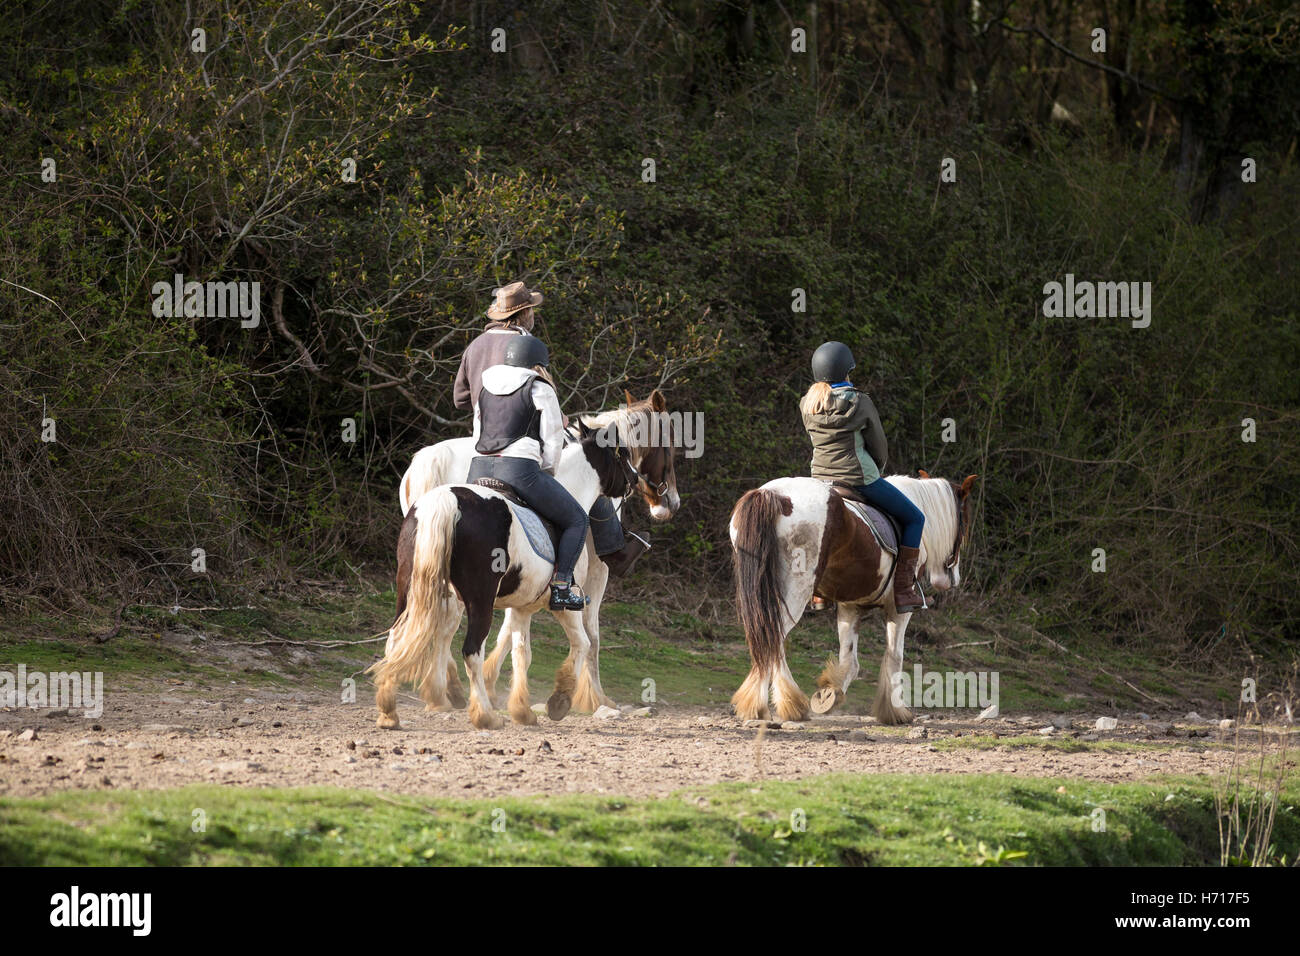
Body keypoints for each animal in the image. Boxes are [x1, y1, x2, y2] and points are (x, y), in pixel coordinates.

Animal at [369, 421, 637, 731]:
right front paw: (559, 702)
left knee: (396, 639)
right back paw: (485, 715)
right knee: (471, 650)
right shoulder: (565, 605)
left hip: (409, 590)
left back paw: (390, 711)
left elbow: (522, 653)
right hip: (479, 600)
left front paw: (523, 711)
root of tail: (445, 500)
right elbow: (581, 643)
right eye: (623, 454)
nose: (634, 480)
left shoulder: (523, 607)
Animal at [395, 389, 682, 714]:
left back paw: (443, 688)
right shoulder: (594, 572)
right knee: (447, 624)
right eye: (669, 446)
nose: (671, 503)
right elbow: (590, 633)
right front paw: (593, 696)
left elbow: (516, 631)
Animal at [728, 471, 977, 724]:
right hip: (794, 593)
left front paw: (830, 696)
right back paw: (779, 704)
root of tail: (773, 494)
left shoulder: (850, 607)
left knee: (766, 638)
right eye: (964, 525)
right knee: (772, 637)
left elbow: (850, 662)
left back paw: (774, 704)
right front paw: (895, 711)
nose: (952, 578)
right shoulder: (898, 609)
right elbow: (894, 657)